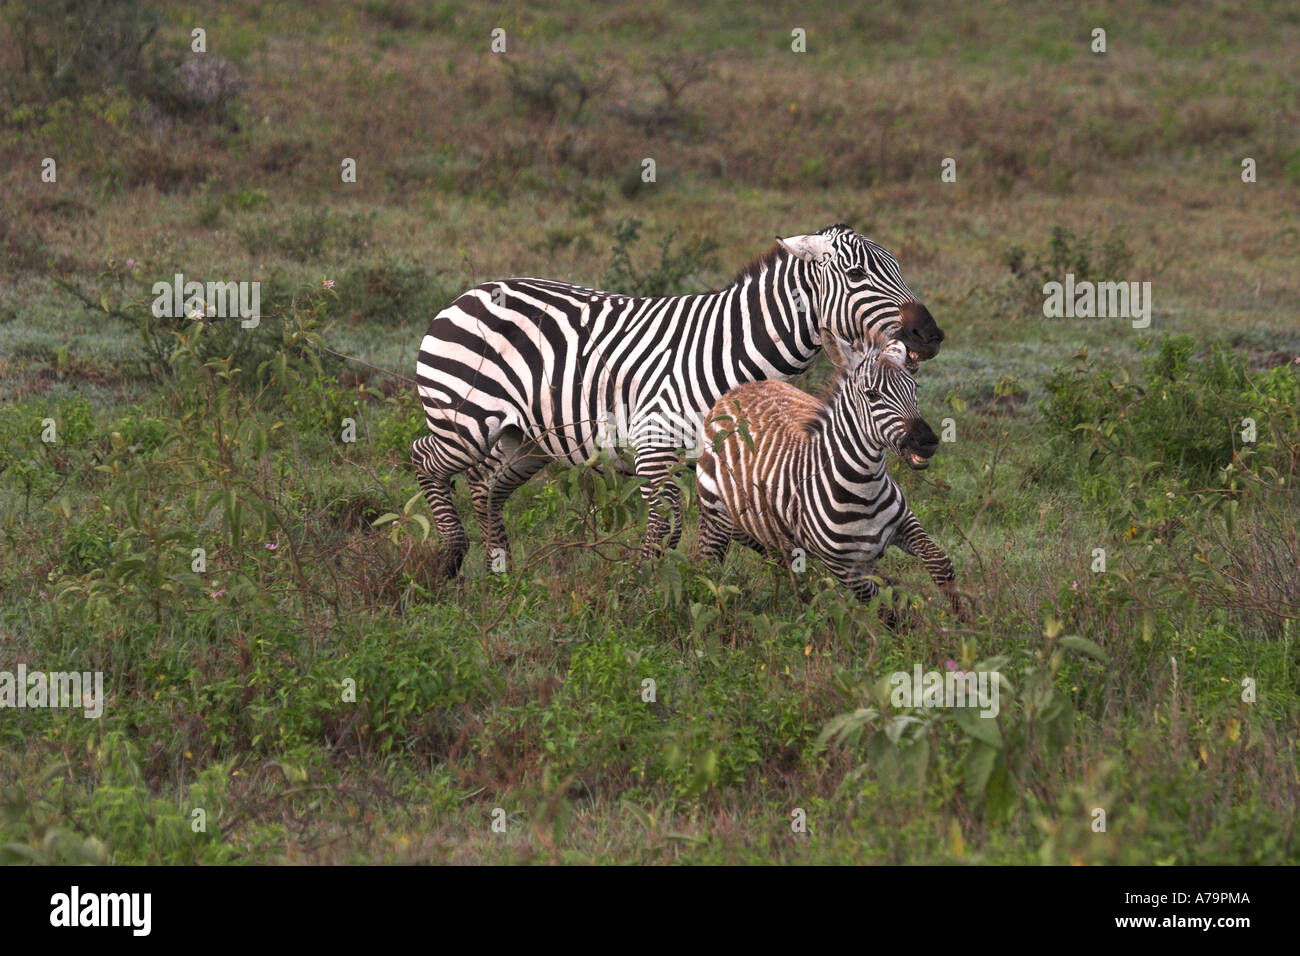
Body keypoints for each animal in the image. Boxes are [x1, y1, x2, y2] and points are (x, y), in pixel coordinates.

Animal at [411, 223, 945, 578]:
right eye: (856, 275)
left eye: (898, 269)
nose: (931, 334)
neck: (732, 350)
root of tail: (473, 291)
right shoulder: (653, 445)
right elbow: (666, 529)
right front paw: (642, 597)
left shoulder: (729, 463)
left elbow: (734, 535)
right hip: (465, 419)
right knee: (424, 459)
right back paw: (450, 560)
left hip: (525, 438)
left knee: (485, 486)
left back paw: (500, 571)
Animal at [695, 332, 967, 622]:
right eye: (872, 395)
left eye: (915, 388)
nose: (926, 442)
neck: (864, 488)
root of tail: (737, 390)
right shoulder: (845, 571)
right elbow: (886, 613)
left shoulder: (905, 523)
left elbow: (940, 564)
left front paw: (965, 620)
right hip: (721, 521)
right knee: (709, 567)